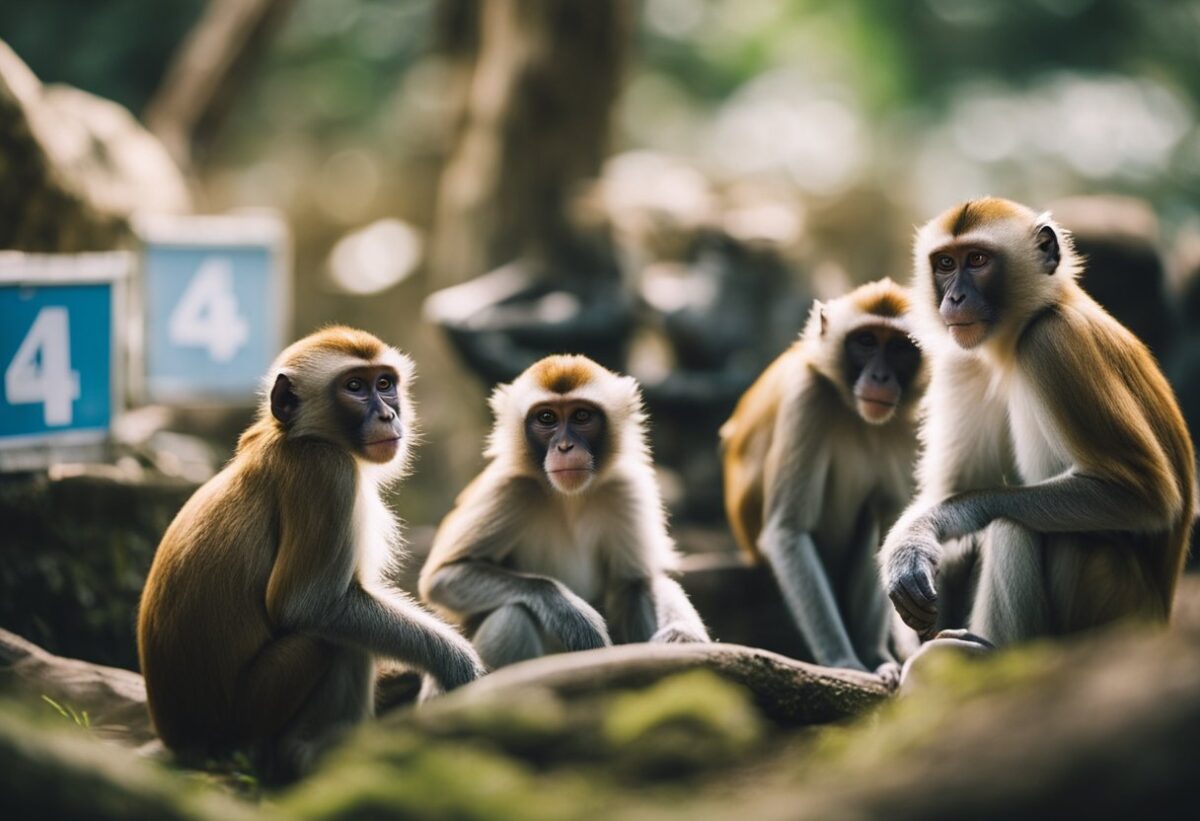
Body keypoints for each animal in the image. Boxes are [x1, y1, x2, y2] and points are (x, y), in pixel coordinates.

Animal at [137, 326, 485, 780]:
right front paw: (454, 664)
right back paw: (306, 756)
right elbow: (305, 606)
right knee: (332, 641)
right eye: (355, 387)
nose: (387, 416)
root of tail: (180, 738)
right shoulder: (327, 474)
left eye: (384, 384)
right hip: (250, 712)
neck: (295, 438)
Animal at [418, 354, 710, 670]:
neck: (569, 496)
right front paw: (566, 610)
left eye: (581, 416)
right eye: (547, 418)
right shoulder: (510, 489)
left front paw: (683, 634)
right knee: (513, 617)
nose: (565, 447)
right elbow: (443, 578)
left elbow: (638, 580)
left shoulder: (624, 488)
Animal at [720, 279, 926, 685]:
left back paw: (876, 654)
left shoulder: (909, 423)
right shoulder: (807, 397)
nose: (880, 377)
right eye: (866, 341)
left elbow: (893, 533)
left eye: (899, 347)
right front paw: (842, 662)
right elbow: (787, 531)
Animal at [880, 197, 1195, 649]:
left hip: (1117, 606)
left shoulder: (1053, 342)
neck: (1017, 334)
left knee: (1017, 524)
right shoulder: (965, 359)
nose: (954, 298)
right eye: (945, 263)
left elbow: (1145, 493)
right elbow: (955, 488)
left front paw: (937, 525)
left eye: (977, 260)